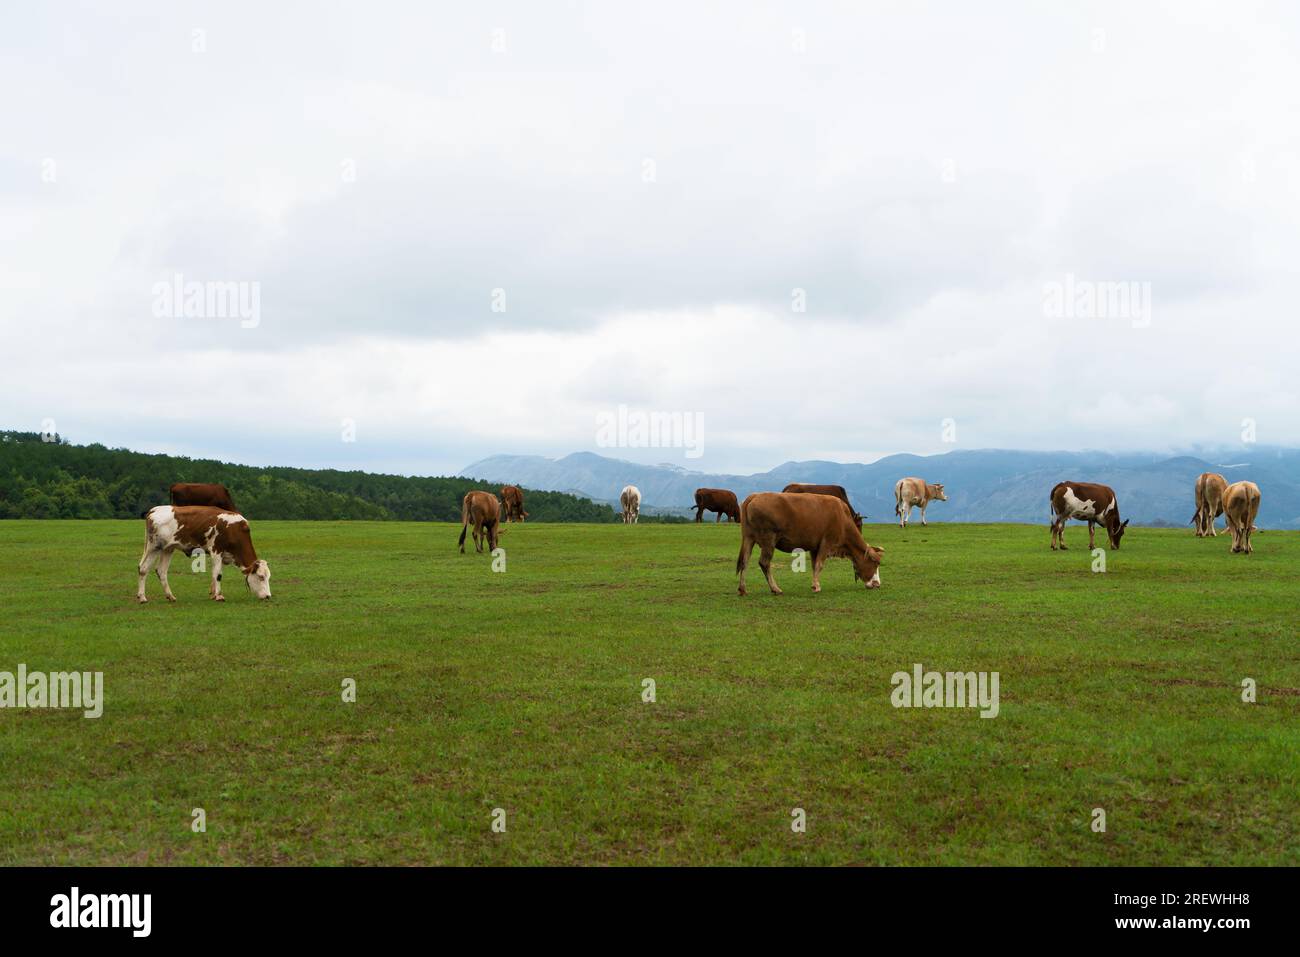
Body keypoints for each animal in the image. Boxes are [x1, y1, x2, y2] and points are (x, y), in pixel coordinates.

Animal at [137, 505, 271, 603]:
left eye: (268, 577)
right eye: (261, 577)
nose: (268, 596)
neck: (234, 530)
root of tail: (155, 509)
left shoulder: (223, 556)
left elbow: (215, 574)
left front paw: (213, 594)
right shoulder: (216, 550)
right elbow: (218, 575)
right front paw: (219, 596)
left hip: (168, 549)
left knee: (161, 571)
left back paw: (170, 596)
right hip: (154, 546)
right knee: (143, 568)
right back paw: (142, 597)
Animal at [736, 492, 883, 595]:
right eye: (875, 562)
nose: (877, 584)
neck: (842, 518)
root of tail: (755, 496)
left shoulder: (815, 547)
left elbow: (814, 565)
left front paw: (814, 584)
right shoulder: (827, 542)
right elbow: (819, 564)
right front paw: (816, 586)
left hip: (748, 538)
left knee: (745, 561)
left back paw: (743, 589)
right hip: (769, 539)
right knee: (764, 563)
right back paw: (775, 589)